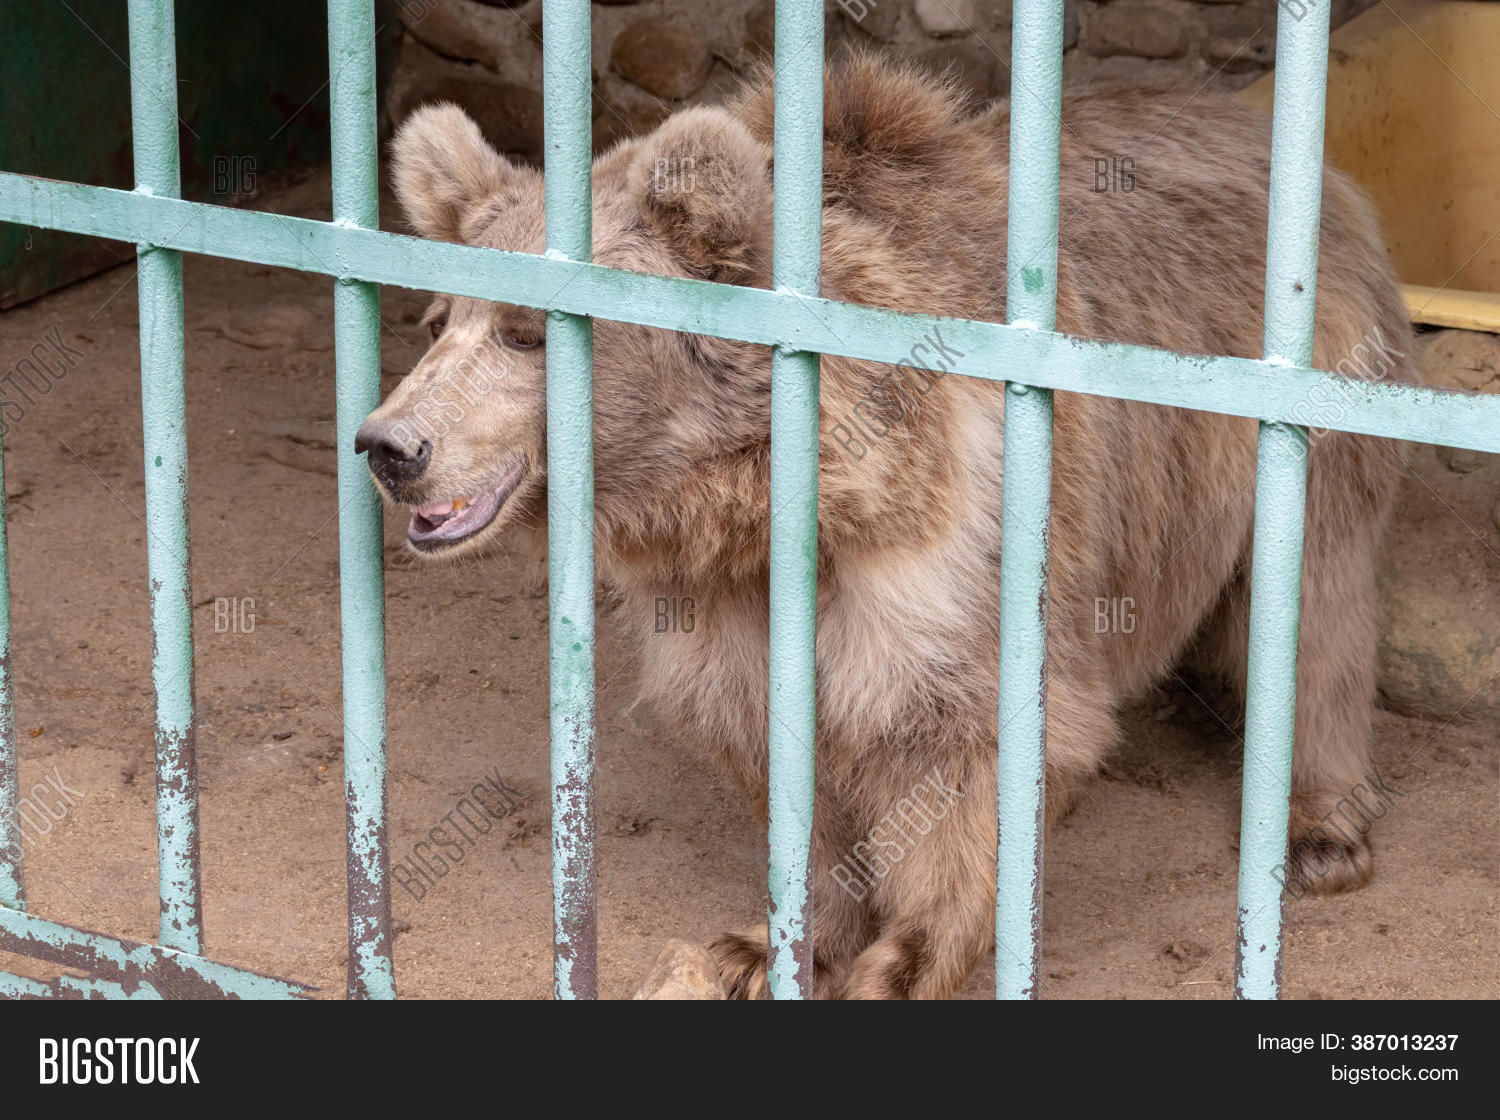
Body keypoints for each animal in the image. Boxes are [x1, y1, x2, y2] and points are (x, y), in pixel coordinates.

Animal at [357, 52, 1414, 999]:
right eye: (439, 320)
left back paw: (1322, 829)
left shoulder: (956, 536)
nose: (388, 446)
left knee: (1318, 597)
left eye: (526, 335)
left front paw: (905, 961)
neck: (764, 501)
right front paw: (760, 949)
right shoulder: (723, 600)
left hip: (1313, 397)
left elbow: (956, 742)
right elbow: (778, 748)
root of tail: (1255, 123)